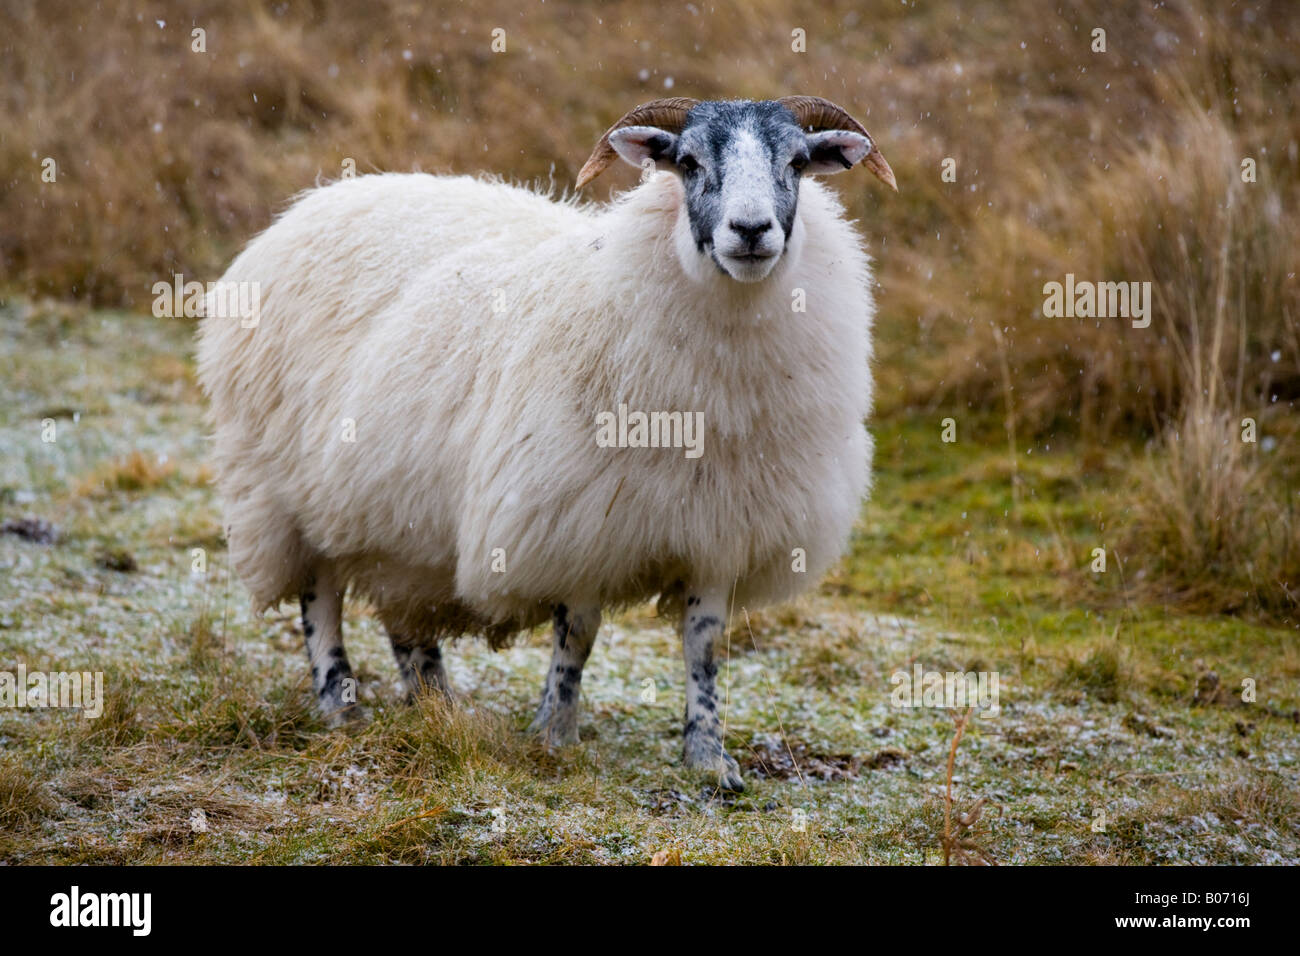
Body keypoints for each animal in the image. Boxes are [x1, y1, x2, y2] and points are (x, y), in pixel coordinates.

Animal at [196, 96, 895, 791]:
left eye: (797, 163)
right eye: (689, 161)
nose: (751, 231)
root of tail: (316, 200)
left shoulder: (721, 531)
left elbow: (703, 647)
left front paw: (709, 756)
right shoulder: (574, 520)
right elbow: (577, 637)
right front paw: (555, 734)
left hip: (398, 511)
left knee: (405, 616)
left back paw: (437, 708)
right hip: (279, 485)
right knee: (320, 600)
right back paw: (341, 705)